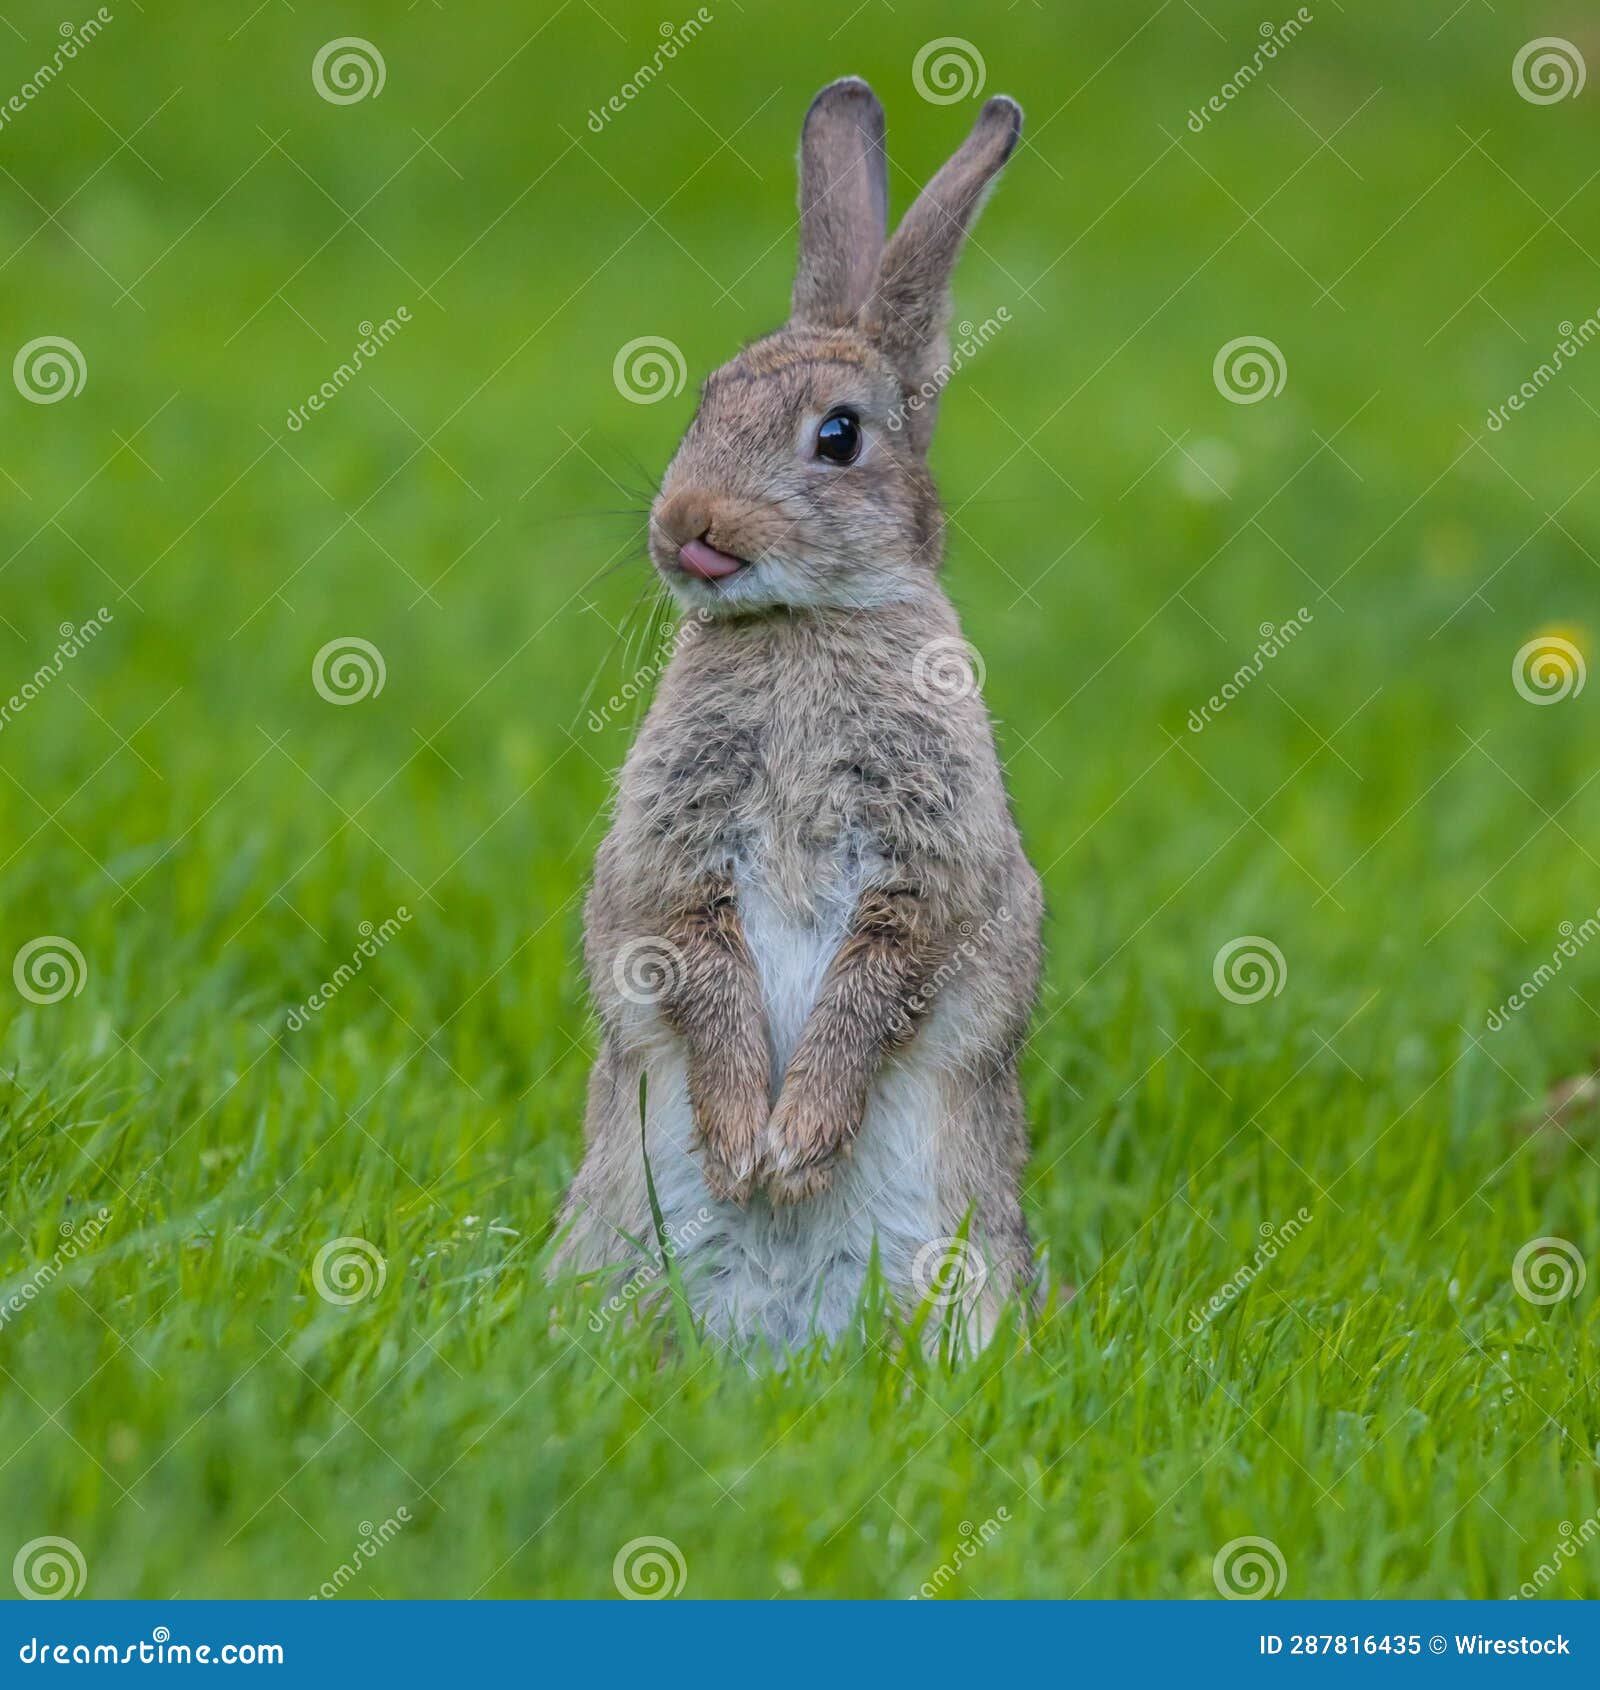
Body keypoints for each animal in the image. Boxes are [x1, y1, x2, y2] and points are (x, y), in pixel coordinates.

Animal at [553, 77, 1043, 1354]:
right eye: (704, 401)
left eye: (837, 435)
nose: (688, 523)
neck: (801, 623)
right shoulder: (677, 858)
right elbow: (696, 963)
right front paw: (745, 1151)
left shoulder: (923, 866)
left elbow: (877, 984)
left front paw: (795, 1147)